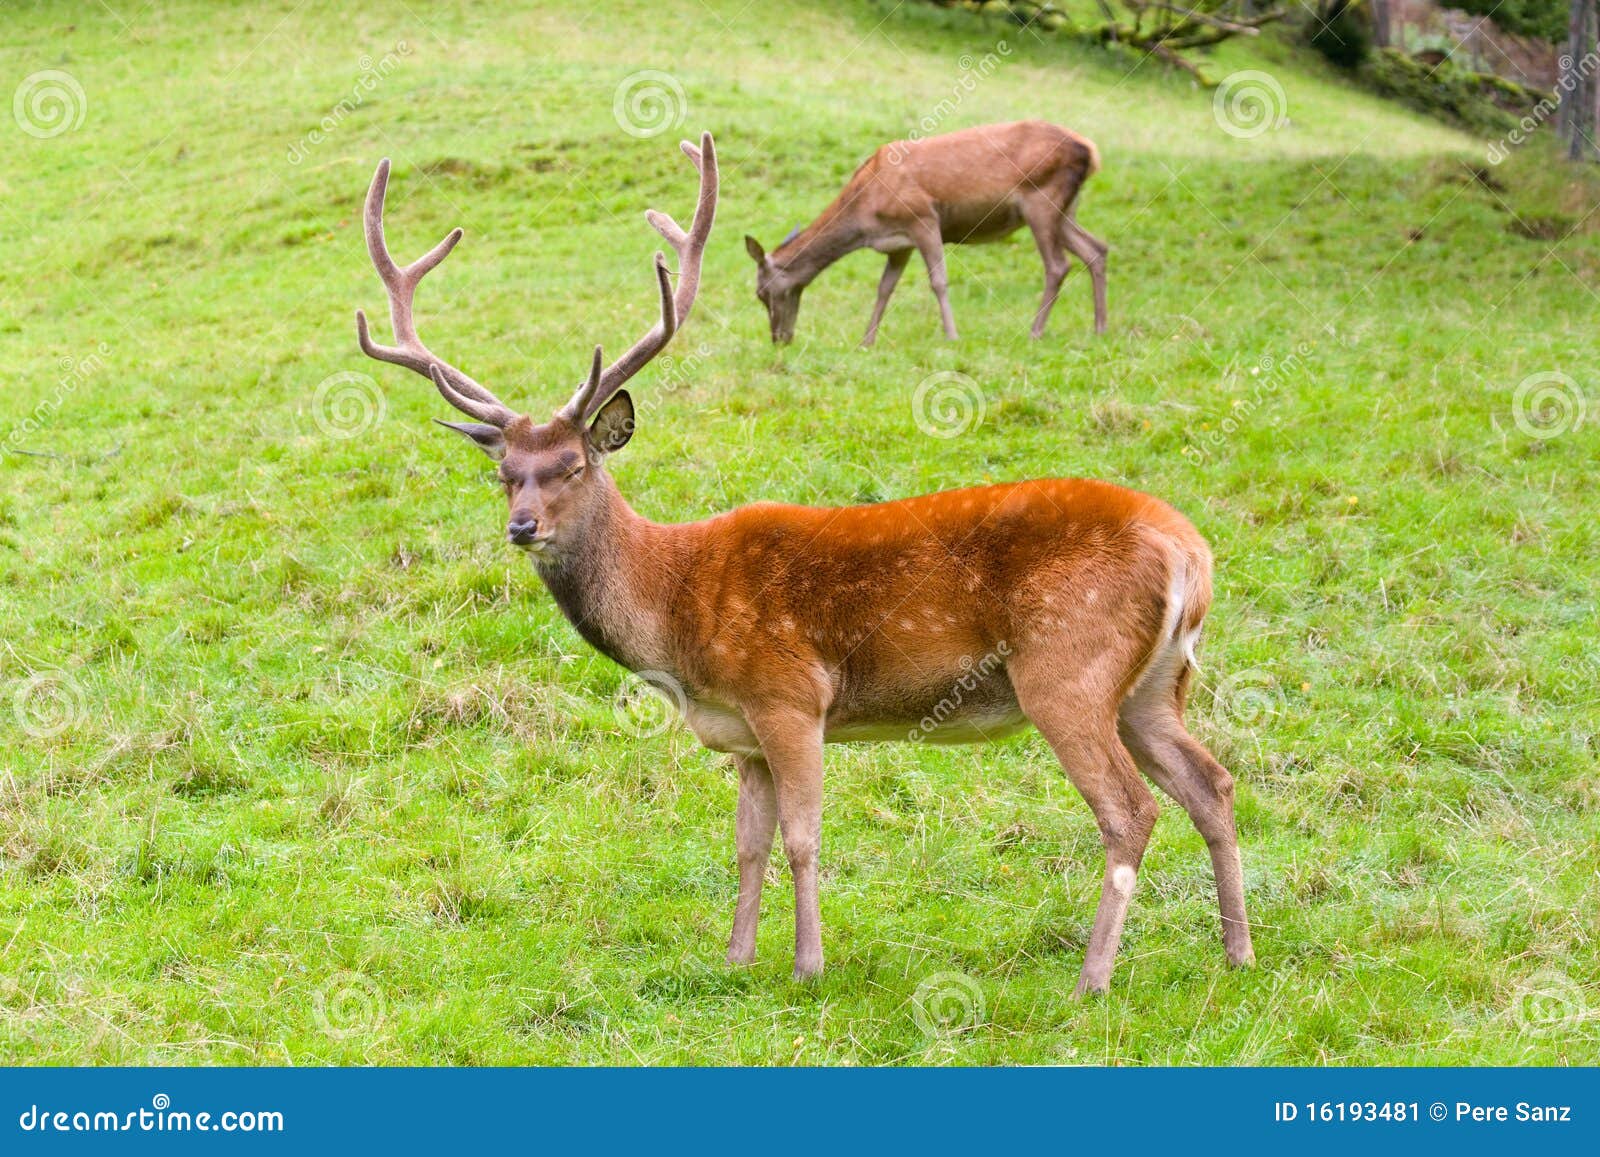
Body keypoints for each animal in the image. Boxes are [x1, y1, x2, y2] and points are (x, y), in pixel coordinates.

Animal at [744, 120, 1108, 347]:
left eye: (762, 293)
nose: (779, 339)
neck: (865, 214)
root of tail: (1091, 151)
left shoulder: (923, 218)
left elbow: (938, 281)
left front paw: (952, 336)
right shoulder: (897, 244)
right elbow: (884, 289)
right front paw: (866, 340)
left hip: (1041, 201)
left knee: (1058, 265)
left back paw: (1035, 332)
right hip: (1064, 209)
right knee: (1096, 248)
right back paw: (1099, 328)